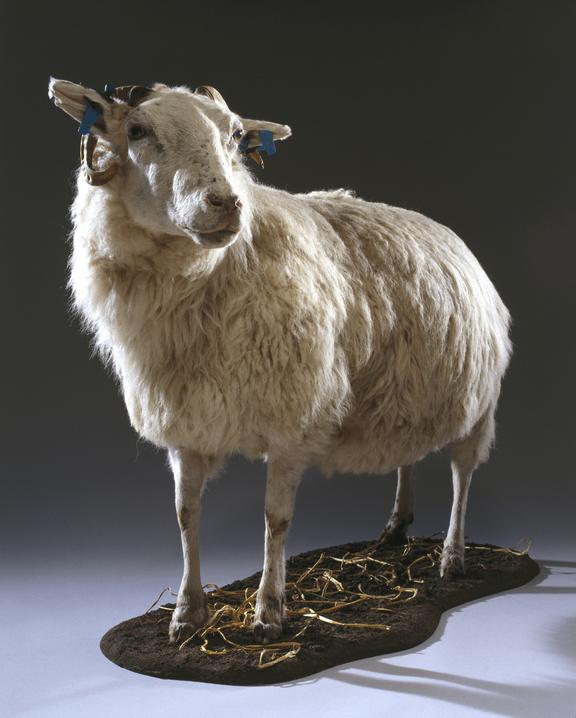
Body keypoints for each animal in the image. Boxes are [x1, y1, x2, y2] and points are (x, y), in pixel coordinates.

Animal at [48, 78, 512, 645]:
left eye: (235, 134)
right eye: (137, 130)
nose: (225, 203)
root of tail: (453, 236)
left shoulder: (294, 419)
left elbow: (276, 519)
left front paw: (269, 612)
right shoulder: (186, 422)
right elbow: (185, 515)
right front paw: (186, 613)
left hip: (478, 398)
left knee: (462, 473)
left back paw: (452, 557)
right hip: (405, 390)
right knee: (408, 452)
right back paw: (395, 528)